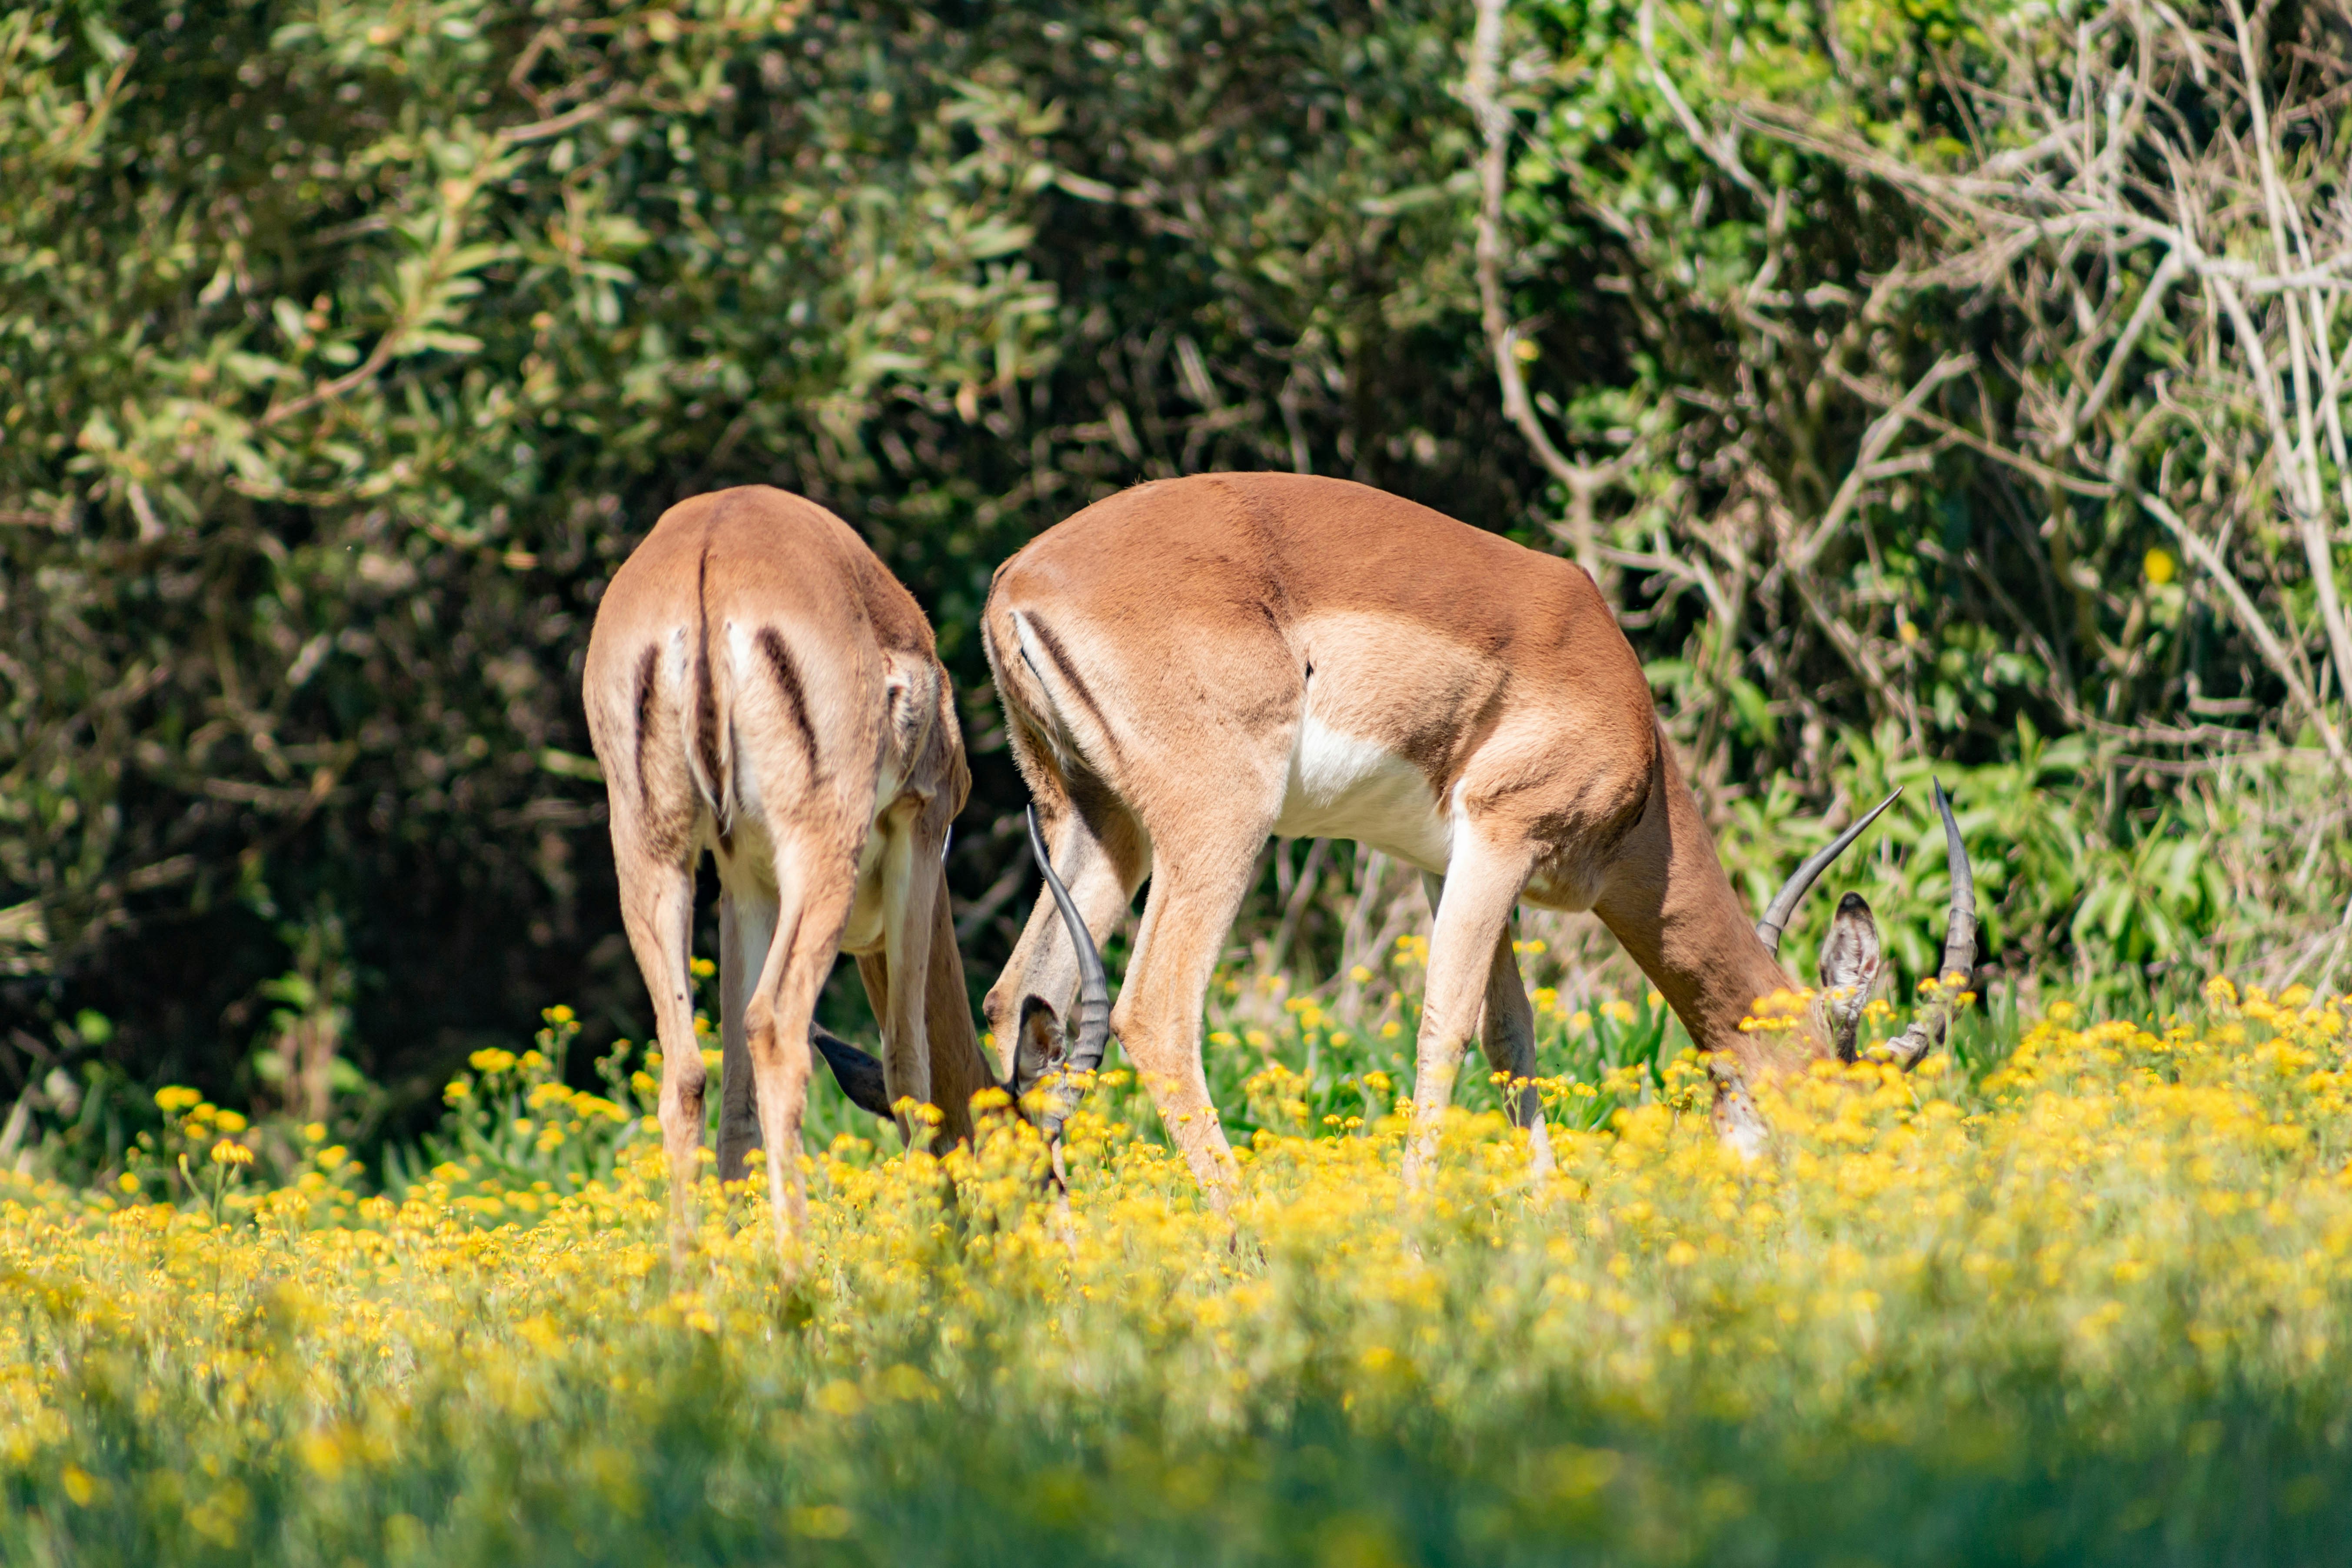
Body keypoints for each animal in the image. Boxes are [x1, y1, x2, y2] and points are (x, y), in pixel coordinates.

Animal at [583, 485, 1108, 1268]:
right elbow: (909, 1066)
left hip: (654, 850)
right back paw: (796, 1280)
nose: (1069, 1265)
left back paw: (691, 1291)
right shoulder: (921, 834)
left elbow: (737, 1100)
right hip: (818, 847)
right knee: (775, 1028)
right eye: (1044, 1175)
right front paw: (937, 1250)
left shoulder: (743, 881)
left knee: (686, 1067)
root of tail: (708, 556)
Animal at [979, 472, 1976, 1196]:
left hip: (1099, 827)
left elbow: (1509, 1039)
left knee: (1019, 998)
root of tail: (1015, 581)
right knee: (1155, 1010)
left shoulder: (1449, 863)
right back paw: (1246, 1242)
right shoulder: (1503, 839)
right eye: (1859, 1101)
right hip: (1217, 825)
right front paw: (1416, 1228)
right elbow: (1445, 1027)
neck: (1639, 750)